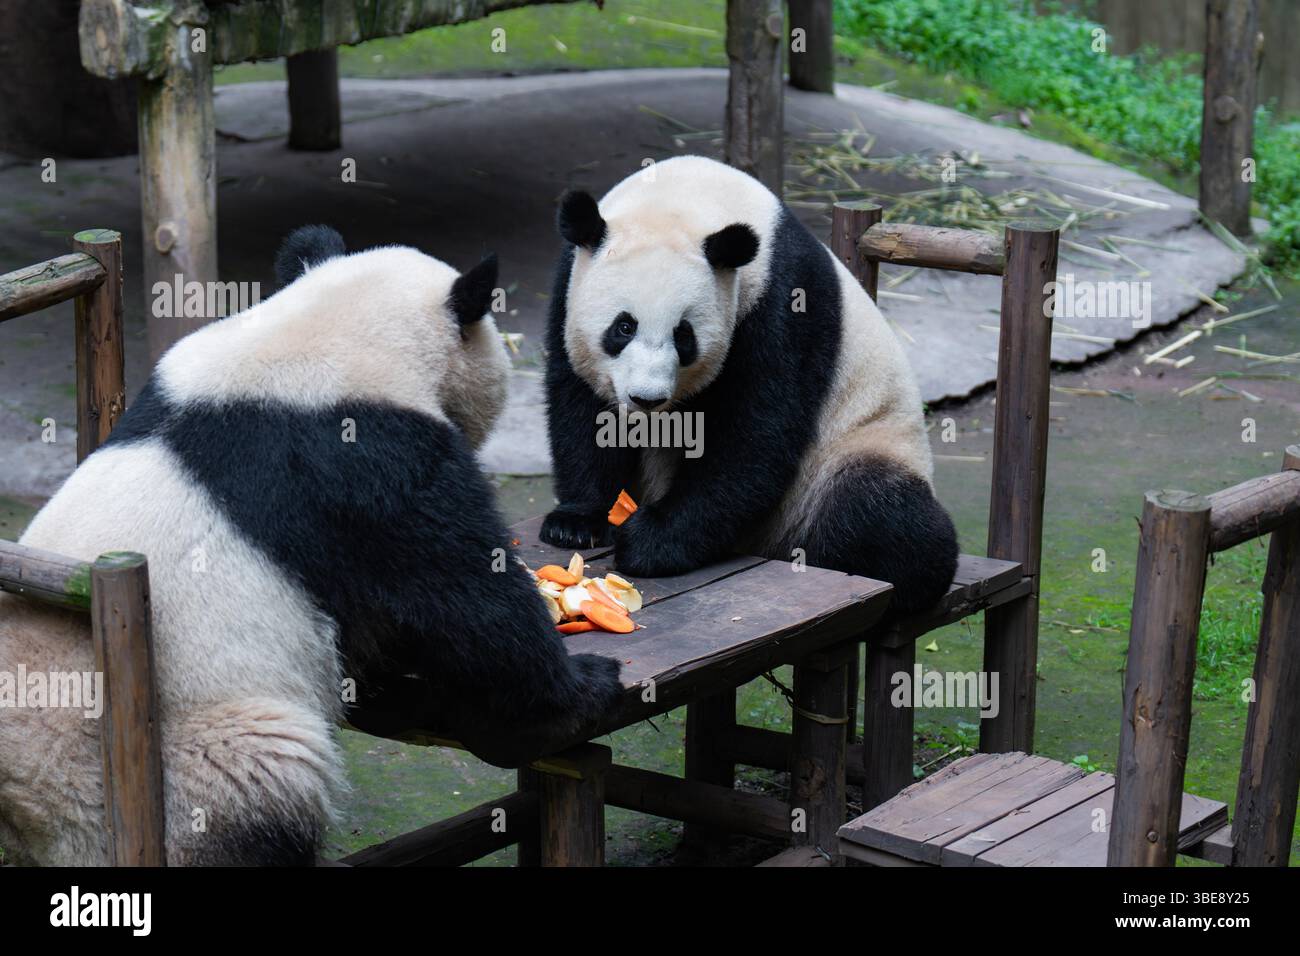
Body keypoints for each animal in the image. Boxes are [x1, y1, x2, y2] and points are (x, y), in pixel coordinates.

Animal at [0, 227, 621, 866]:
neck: (327, 331)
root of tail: (25, 809)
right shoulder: (369, 463)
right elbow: (463, 595)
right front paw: (580, 690)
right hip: (173, 760)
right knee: (264, 779)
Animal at [540, 155, 959, 614]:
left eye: (684, 336)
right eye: (623, 327)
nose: (646, 399)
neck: (684, 198)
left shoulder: (781, 302)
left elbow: (754, 434)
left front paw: (650, 541)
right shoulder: (568, 289)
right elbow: (581, 407)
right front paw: (576, 523)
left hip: (858, 446)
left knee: (882, 515)